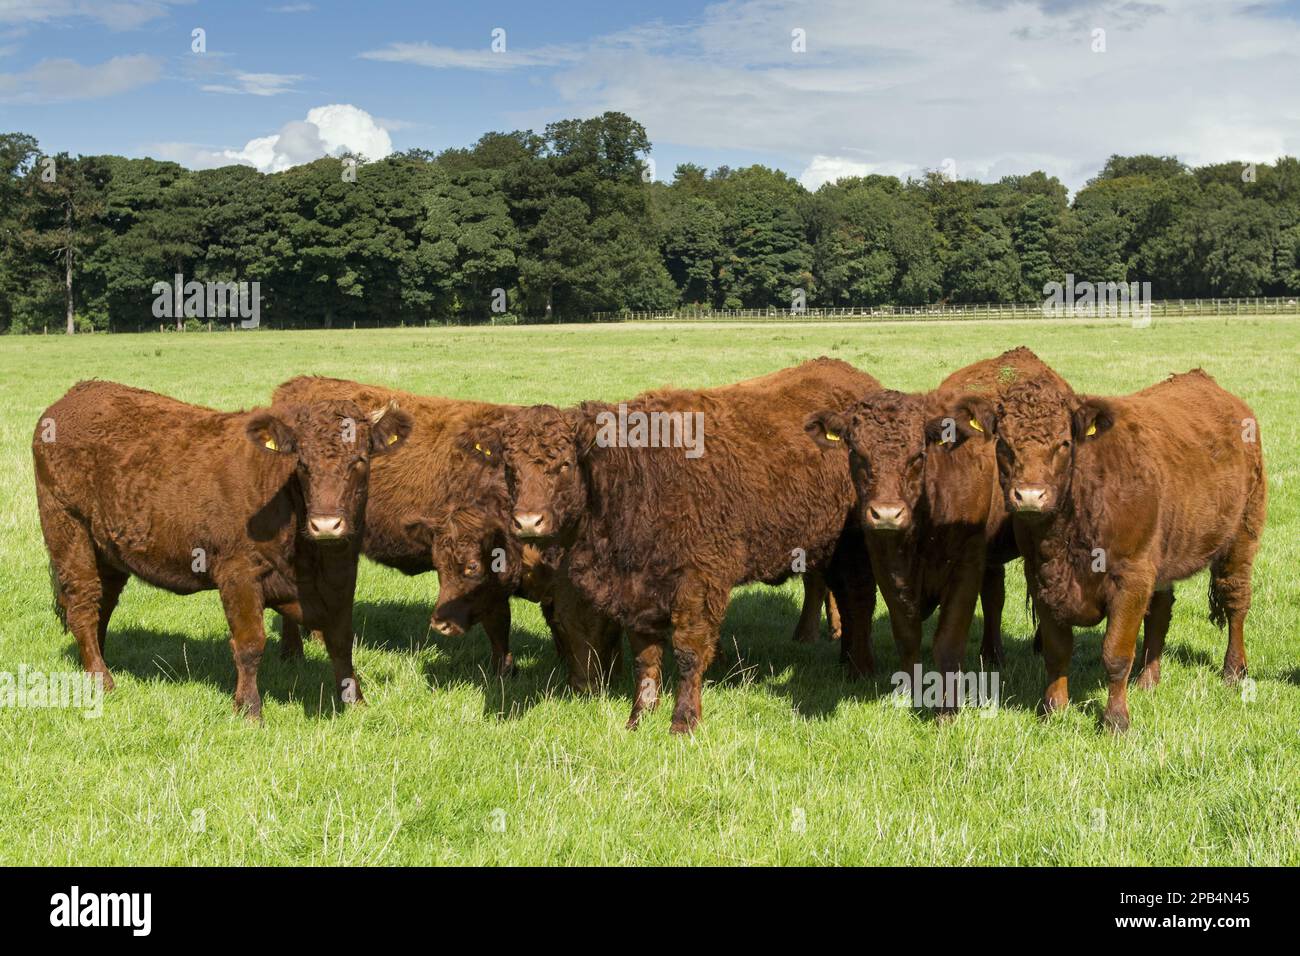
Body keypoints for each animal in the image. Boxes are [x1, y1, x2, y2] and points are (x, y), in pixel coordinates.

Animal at [32, 380, 412, 719]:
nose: (327, 524)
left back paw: (97, 665)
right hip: (68, 529)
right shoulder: (238, 574)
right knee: (83, 606)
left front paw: (355, 701)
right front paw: (249, 709)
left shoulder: (343, 572)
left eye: (360, 460)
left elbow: (341, 639)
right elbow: (250, 644)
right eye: (302, 463)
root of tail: (77, 393)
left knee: (103, 604)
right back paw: (102, 680)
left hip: (107, 549)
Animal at [468, 358, 880, 734]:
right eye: (510, 469)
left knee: (857, 599)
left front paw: (683, 720)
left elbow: (687, 652)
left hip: (853, 546)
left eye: (564, 464)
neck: (636, 474)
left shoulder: (698, 583)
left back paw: (859, 668)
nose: (527, 522)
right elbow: (645, 656)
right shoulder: (637, 592)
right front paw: (639, 715)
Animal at [989, 369, 1266, 732]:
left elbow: (1116, 654)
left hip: (1242, 535)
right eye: (1003, 444)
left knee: (1235, 601)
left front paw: (1116, 720)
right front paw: (1054, 710)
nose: (1030, 496)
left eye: (1064, 443)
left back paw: (1234, 671)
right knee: (1161, 612)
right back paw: (1148, 680)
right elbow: (1057, 650)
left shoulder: (1130, 578)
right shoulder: (1040, 577)